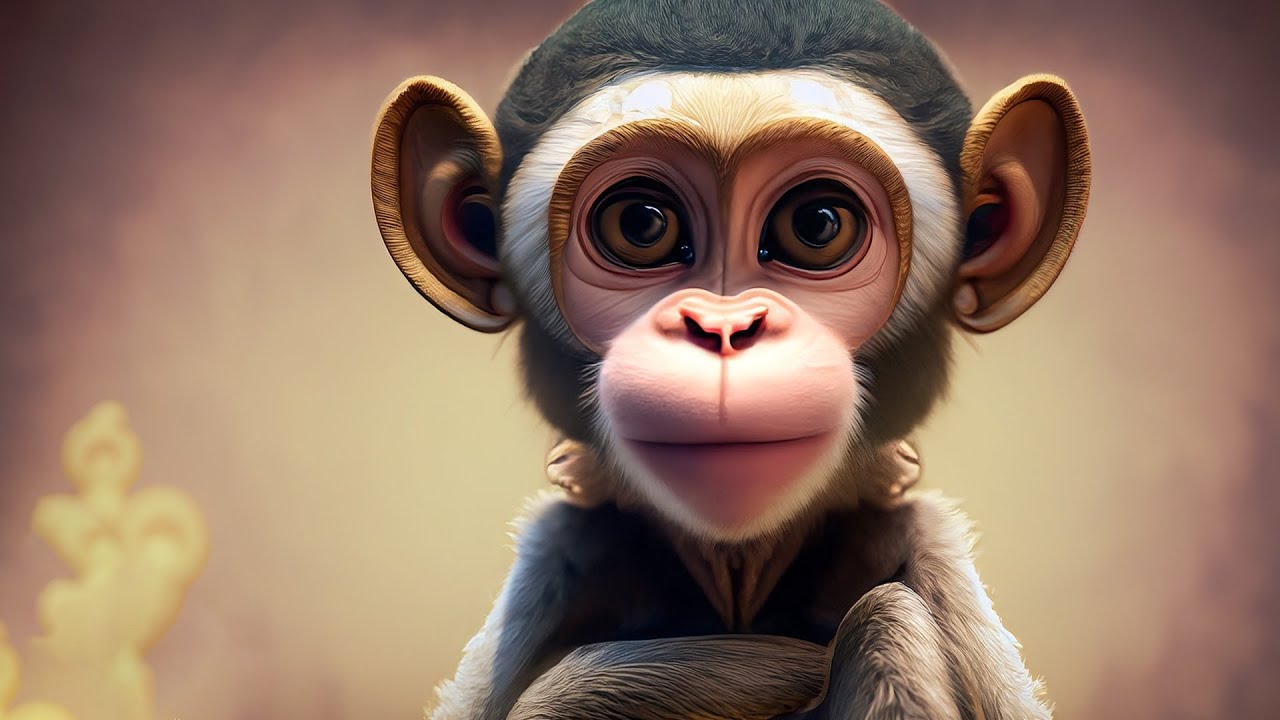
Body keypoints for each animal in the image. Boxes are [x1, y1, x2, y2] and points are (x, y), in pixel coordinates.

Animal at [367, 1, 1091, 718]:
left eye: (818, 224)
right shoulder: (554, 555)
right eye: (641, 224)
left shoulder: (926, 546)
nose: (723, 328)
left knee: (888, 621)